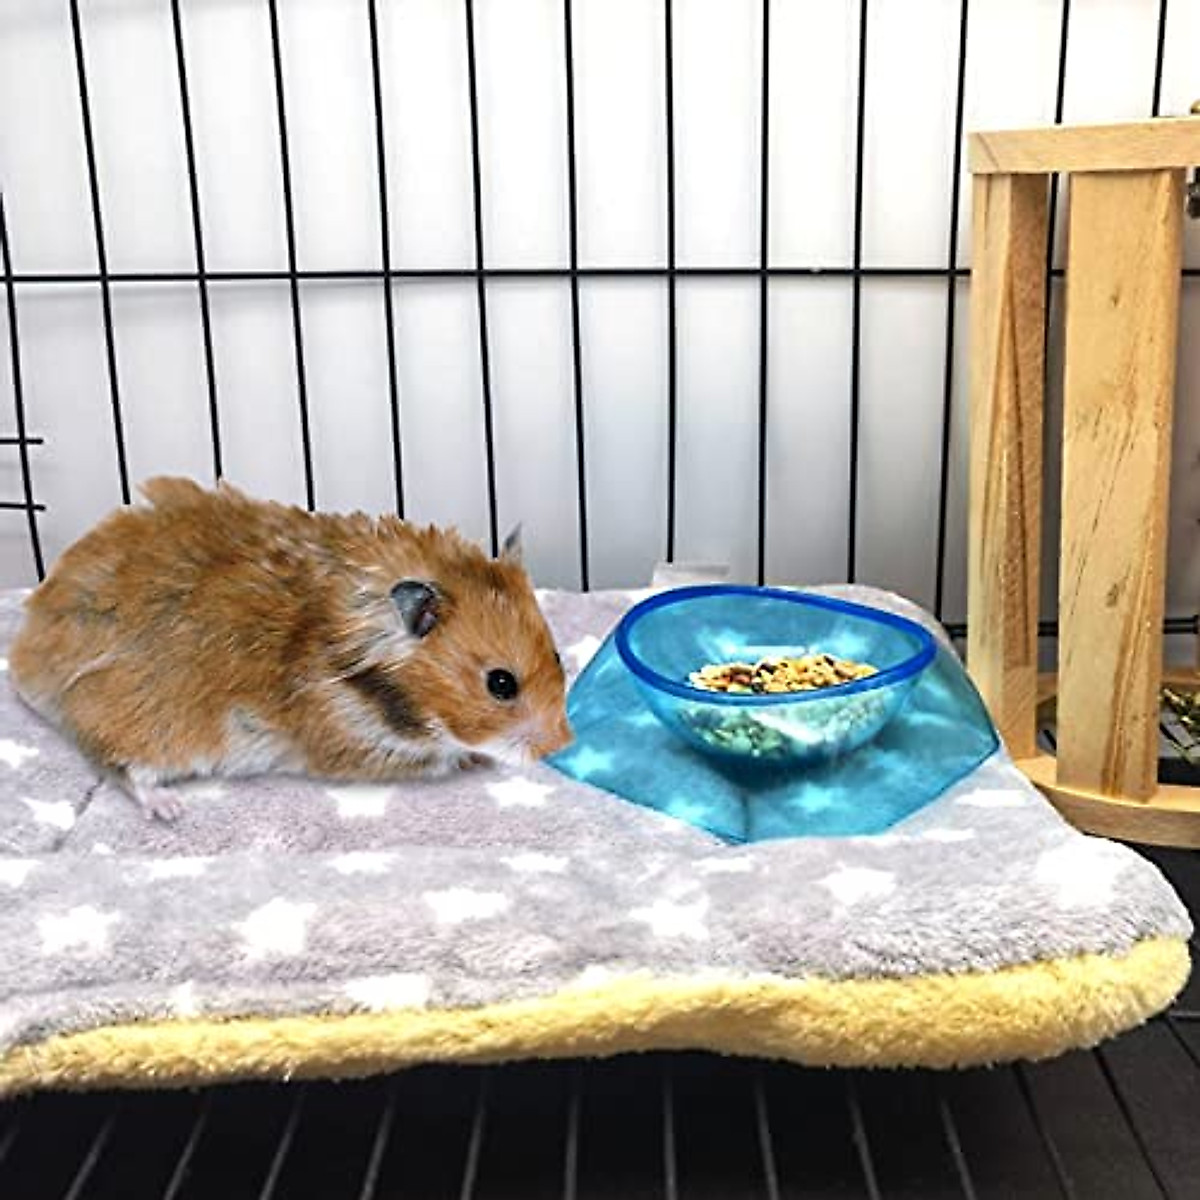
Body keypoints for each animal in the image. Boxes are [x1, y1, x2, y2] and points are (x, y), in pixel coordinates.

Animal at [10, 477, 573, 820]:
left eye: (557, 657)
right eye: (501, 684)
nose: (561, 745)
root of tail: (25, 656)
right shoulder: (355, 744)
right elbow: (443, 759)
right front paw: (477, 760)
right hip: (148, 724)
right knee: (120, 765)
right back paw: (169, 809)